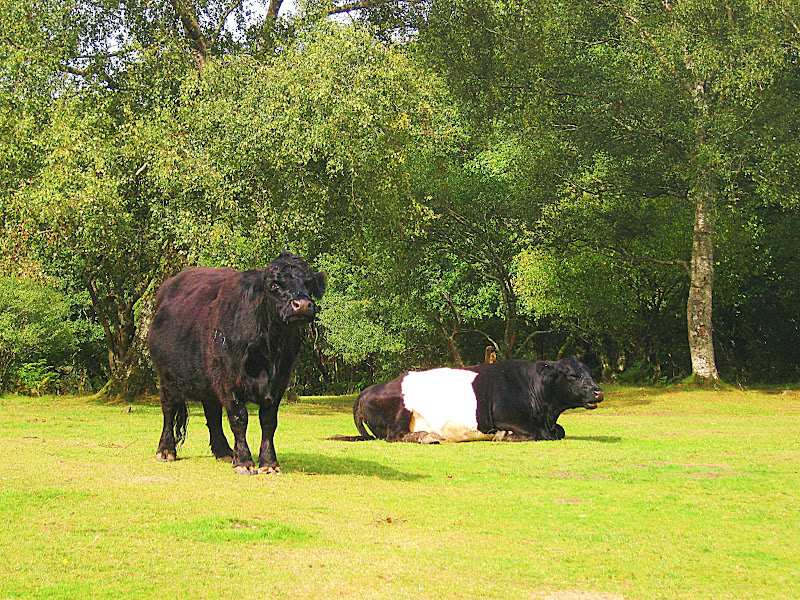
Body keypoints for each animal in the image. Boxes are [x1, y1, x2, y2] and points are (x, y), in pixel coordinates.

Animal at [147, 251, 326, 475]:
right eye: (274, 285)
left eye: (308, 283)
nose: (301, 305)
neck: (270, 346)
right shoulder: (228, 381)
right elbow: (239, 418)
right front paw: (243, 462)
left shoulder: (279, 382)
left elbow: (269, 422)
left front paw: (269, 463)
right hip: (167, 377)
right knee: (169, 410)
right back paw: (165, 451)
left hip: (207, 381)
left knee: (212, 413)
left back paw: (223, 451)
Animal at [352, 356, 603, 443]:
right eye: (572, 375)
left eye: (589, 371)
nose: (598, 392)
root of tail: (366, 391)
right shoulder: (506, 415)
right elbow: (536, 434)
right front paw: (503, 436)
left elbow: (560, 431)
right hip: (401, 409)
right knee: (394, 436)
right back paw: (427, 437)